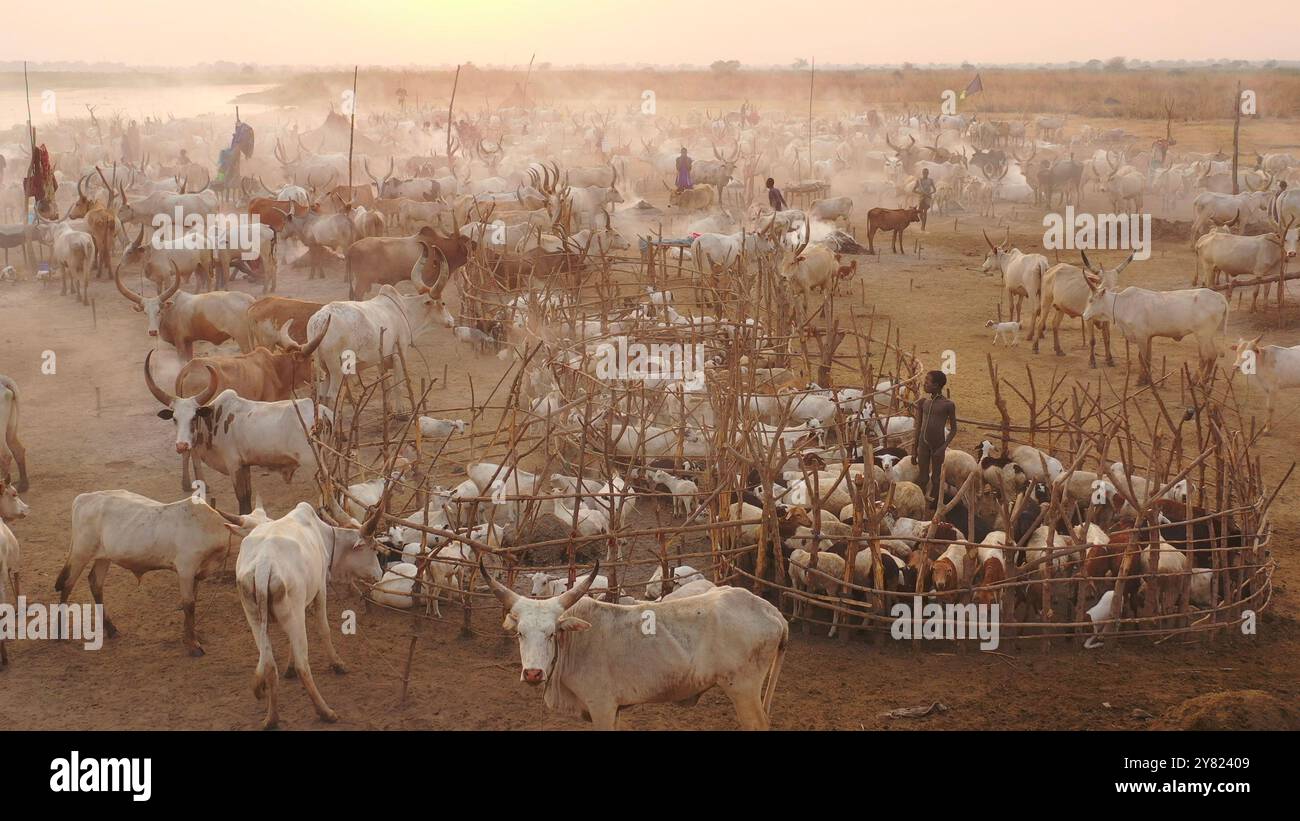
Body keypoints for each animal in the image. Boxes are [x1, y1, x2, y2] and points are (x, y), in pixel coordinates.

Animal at [56, 491, 266, 656]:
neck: (209, 527)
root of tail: (83, 498)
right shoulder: (186, 569)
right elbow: (189, 605)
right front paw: (193, 645)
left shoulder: (195, 573)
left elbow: (192, 602)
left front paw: (189, 636)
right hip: (81, 552)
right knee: (67, 584)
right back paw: (59, 633)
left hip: (104, 556)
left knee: (95, 583)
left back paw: (111, 628)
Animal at [115, 265, 254, 359]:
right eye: (145, 313)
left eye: (159, 311)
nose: (153, 332)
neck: (171, 310)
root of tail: (249, 300)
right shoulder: (188, 342)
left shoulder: (180, 342)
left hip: (244, 340)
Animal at [144, 353, 328, 512]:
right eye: (174, 419)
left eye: (194, 416)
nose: (182, 445)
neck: (215, 418)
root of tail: (324, 413)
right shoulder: (244, 465)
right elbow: (247, 498)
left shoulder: (234, 465)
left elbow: (243, 500)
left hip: (313, 466)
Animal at [235, 501, 387, 729]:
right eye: (373, 549)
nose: (379, 574)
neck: (323, 535)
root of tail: (263, 565)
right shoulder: (320, 589)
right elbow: (324, 629)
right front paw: (337, 664)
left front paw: (284, 670)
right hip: (293, 611)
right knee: (303, 665)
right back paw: (325, 712)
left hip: (255, 615)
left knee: (270, 665)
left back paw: (271, 718)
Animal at [481, 562, 788, 730]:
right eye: (520, 633)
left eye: (551, 633)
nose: (533, 673)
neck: (575, 645)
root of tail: (771, 610)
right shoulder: (616, 710)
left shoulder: (602, 707)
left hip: (744, 691)